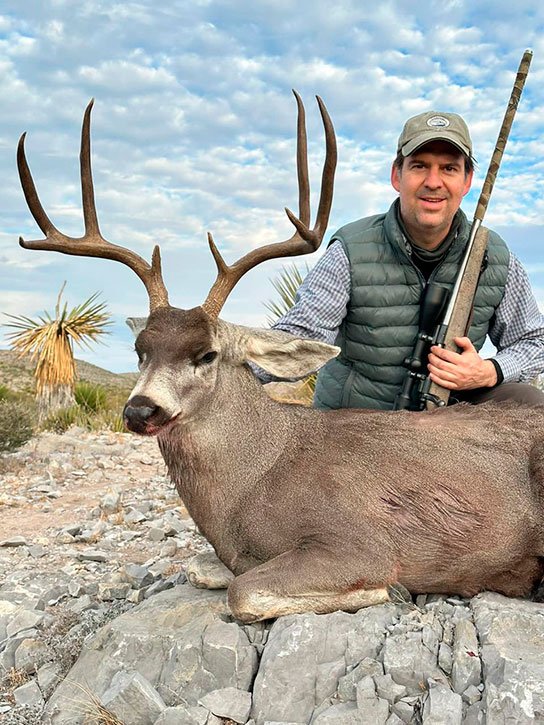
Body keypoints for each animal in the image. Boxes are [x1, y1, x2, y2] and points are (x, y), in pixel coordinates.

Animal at [17, 95, 544, 623]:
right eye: (139, 349)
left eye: (206, 353)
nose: (140, 410)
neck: (254, 480)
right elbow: (202, 568)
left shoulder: (360, 542)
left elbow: (244, 591)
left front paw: (388, 591)